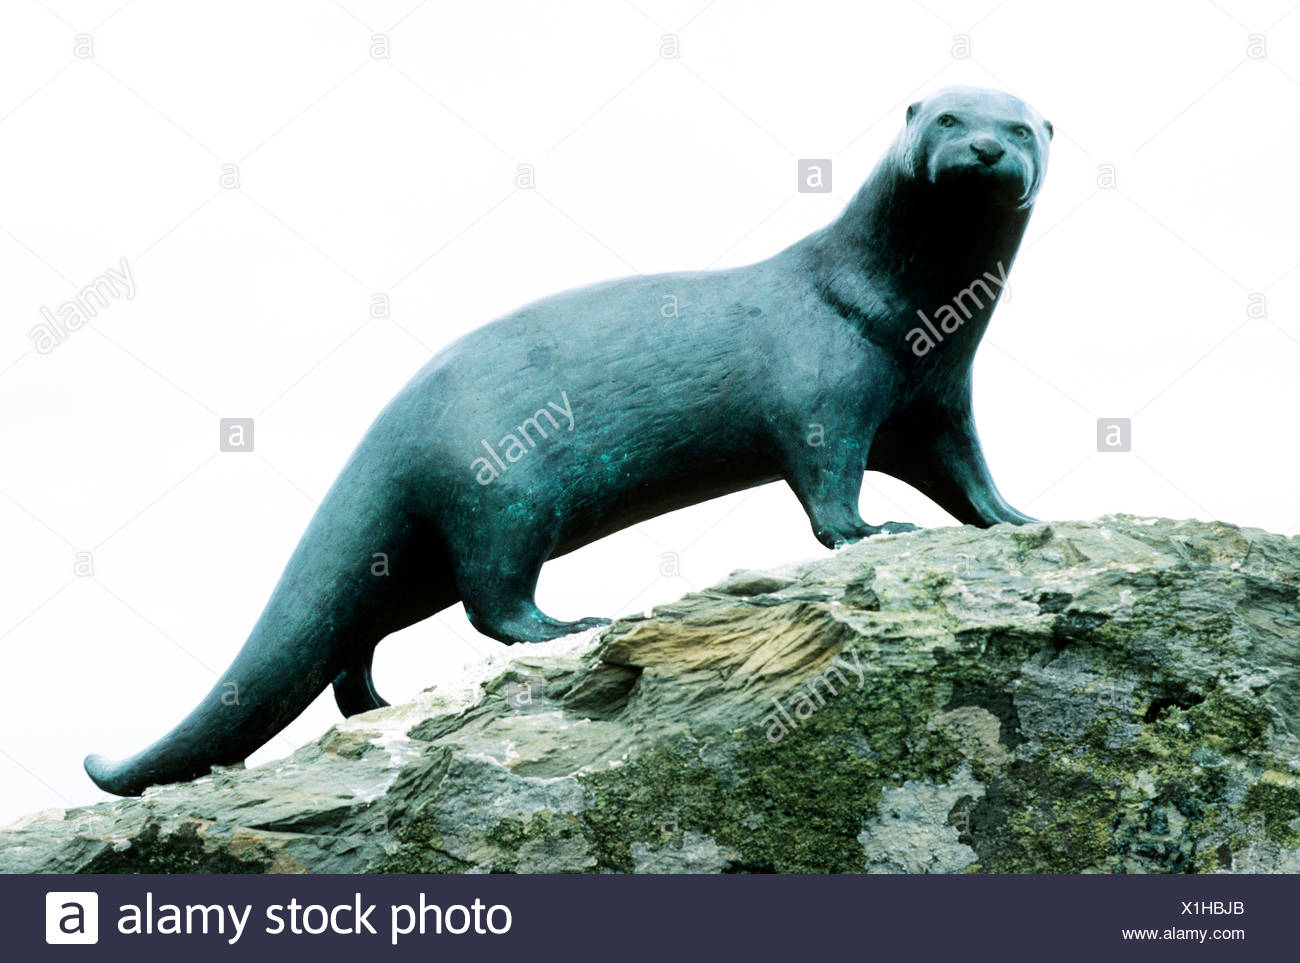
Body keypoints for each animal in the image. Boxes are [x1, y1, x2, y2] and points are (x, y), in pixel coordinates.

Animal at [85, 86, 1053, 796]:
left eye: (1019, 125)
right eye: (946, 118)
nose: (985, 150)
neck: (892, 312)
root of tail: (389, 425)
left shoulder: (939, 402)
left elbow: (968, 474)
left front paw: (1017, 517)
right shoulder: (826, 393)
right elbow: (826, 484)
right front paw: (873, 530)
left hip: (418, 556)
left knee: (352, 628)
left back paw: (376, 701)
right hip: (504, 488)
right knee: (490, 596)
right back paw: (566, 622)